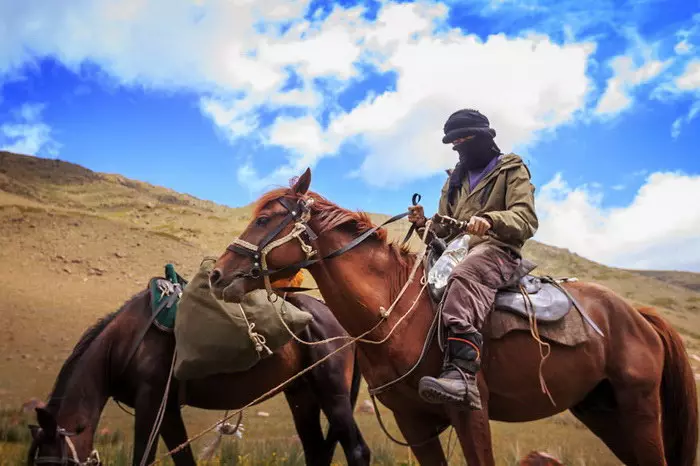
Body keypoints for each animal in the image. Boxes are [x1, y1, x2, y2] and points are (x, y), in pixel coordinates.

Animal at [26, 278, 372, 464]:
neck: (123, 343)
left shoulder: (151, 403)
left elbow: (143, 458)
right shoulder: (167, 412)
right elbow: (184, 460)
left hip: (333, 393)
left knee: (357, 450)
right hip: (302, 395)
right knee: (316, 451)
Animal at [211, 167, 696, 466]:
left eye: (266, 220)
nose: (218, 275)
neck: (399, 314)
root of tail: (638, 315)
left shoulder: (470, 414)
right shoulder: (415, 423)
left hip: (639, 407)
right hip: (603, 411)